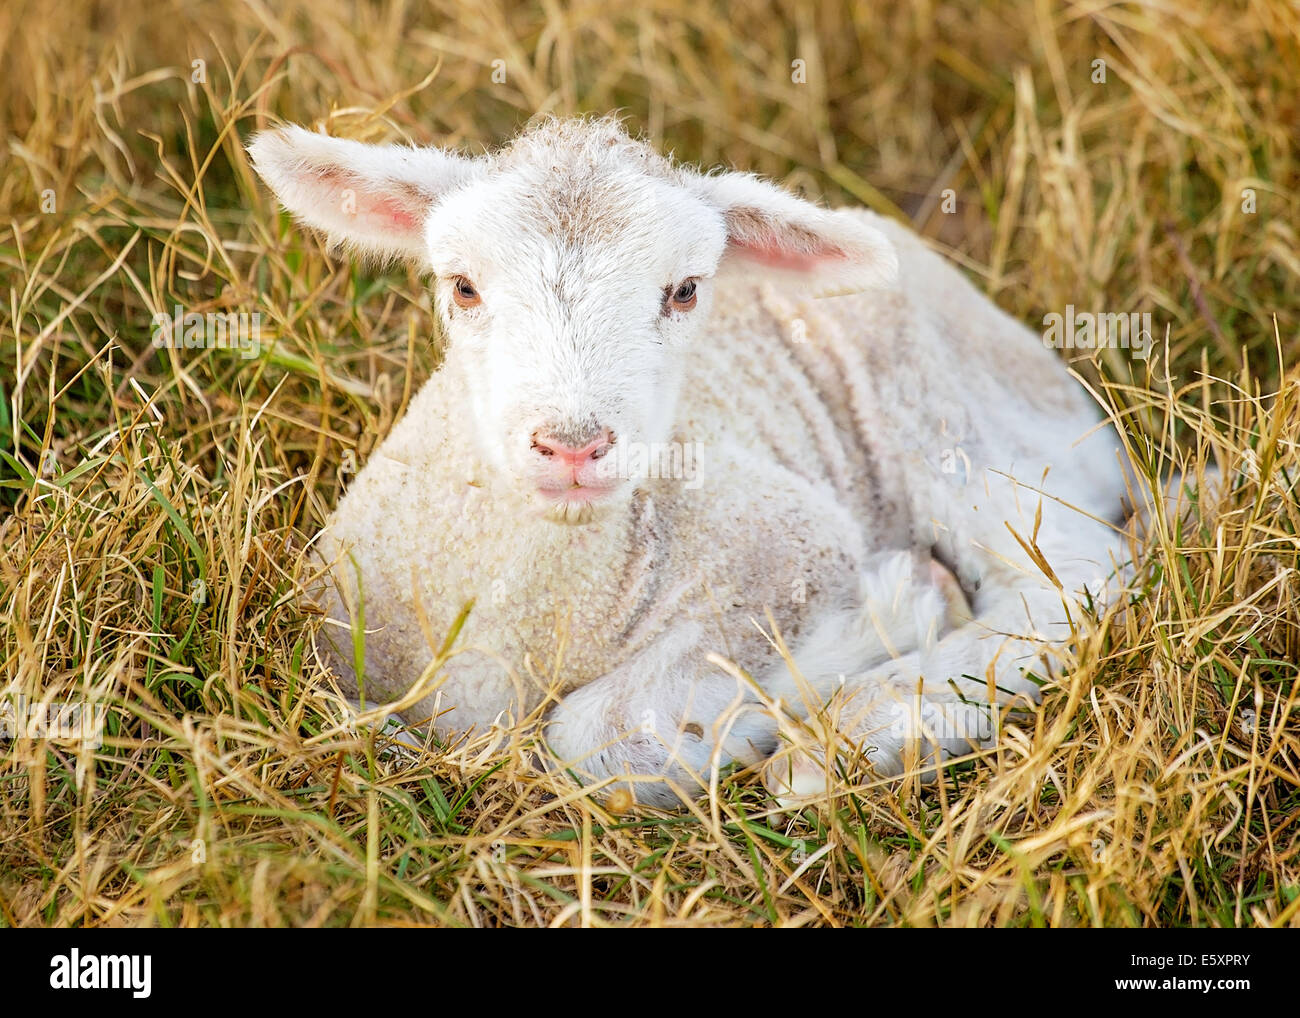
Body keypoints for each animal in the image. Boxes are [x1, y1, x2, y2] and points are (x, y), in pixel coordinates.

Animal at [247, 115, 1129, 807]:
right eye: (462, 286)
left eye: (686, 291)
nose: (573, 444)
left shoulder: (790, 538)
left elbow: (593, 740)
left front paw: (879, 620)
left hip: (945, 421)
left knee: (1076, 582)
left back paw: (847, 735)